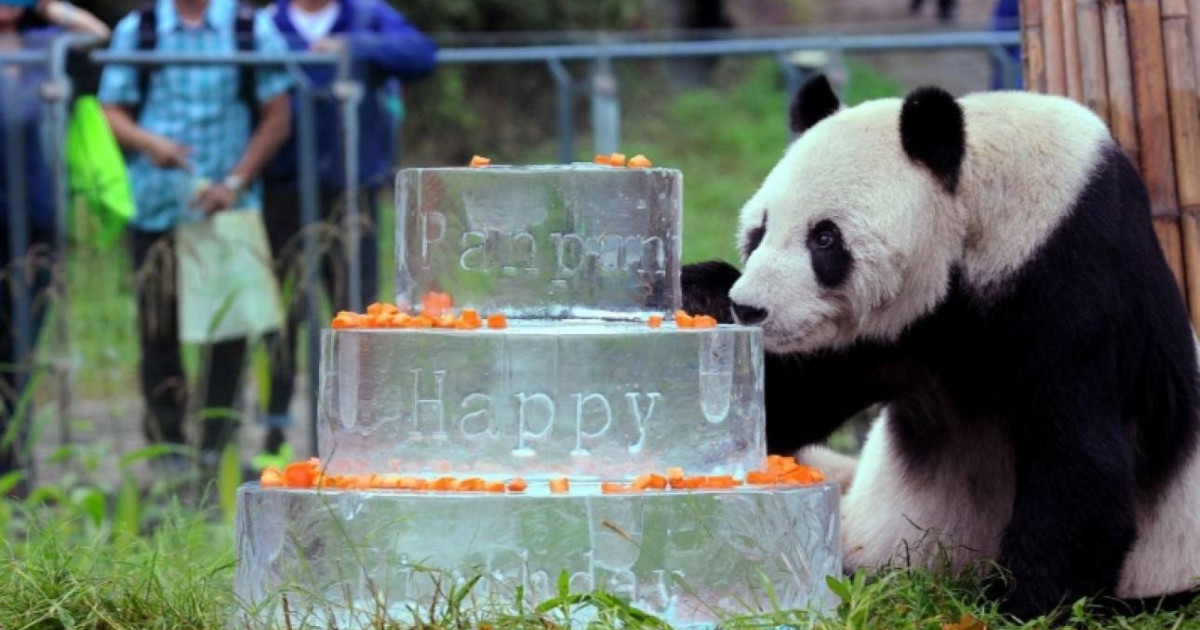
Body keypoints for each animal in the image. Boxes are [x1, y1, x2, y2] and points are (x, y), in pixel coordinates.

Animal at [682, 75, 1200, 620]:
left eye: (824, 238)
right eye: (759, 230)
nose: (750, 309)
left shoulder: (1076, 281)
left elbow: (1080, 460)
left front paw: (1016, 604)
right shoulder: (893, 333)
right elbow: (788, 408)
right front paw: (701, 294)